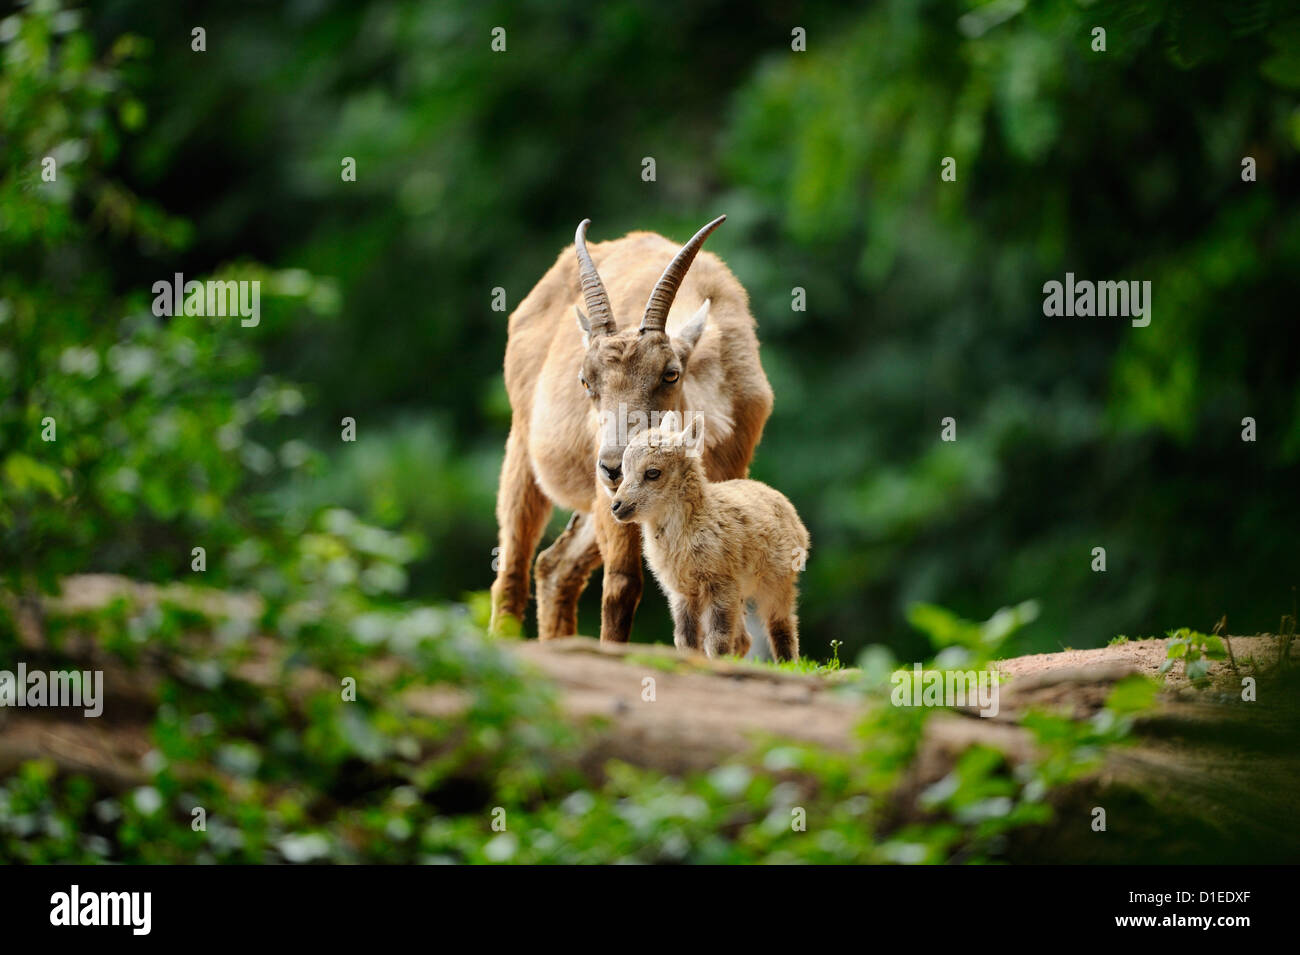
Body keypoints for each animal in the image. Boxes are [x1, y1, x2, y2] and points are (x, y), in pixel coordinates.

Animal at [489, 215, 773, 646]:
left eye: (670, 374)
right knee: (512, 571)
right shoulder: (619, 505)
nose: (613, 467)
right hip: (526, 452)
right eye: (586, 380)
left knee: (555, 566)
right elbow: (622, 584)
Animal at [609, 419, 808, 661]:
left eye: (653, 472)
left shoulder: (721, 584)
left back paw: (788, 662)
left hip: (777, 580)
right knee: (744, 639)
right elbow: (685, 640)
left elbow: (717, 640)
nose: (616, 506)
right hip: (741, 593)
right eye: (623, 470)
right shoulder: (681, 592)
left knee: (781, 625)